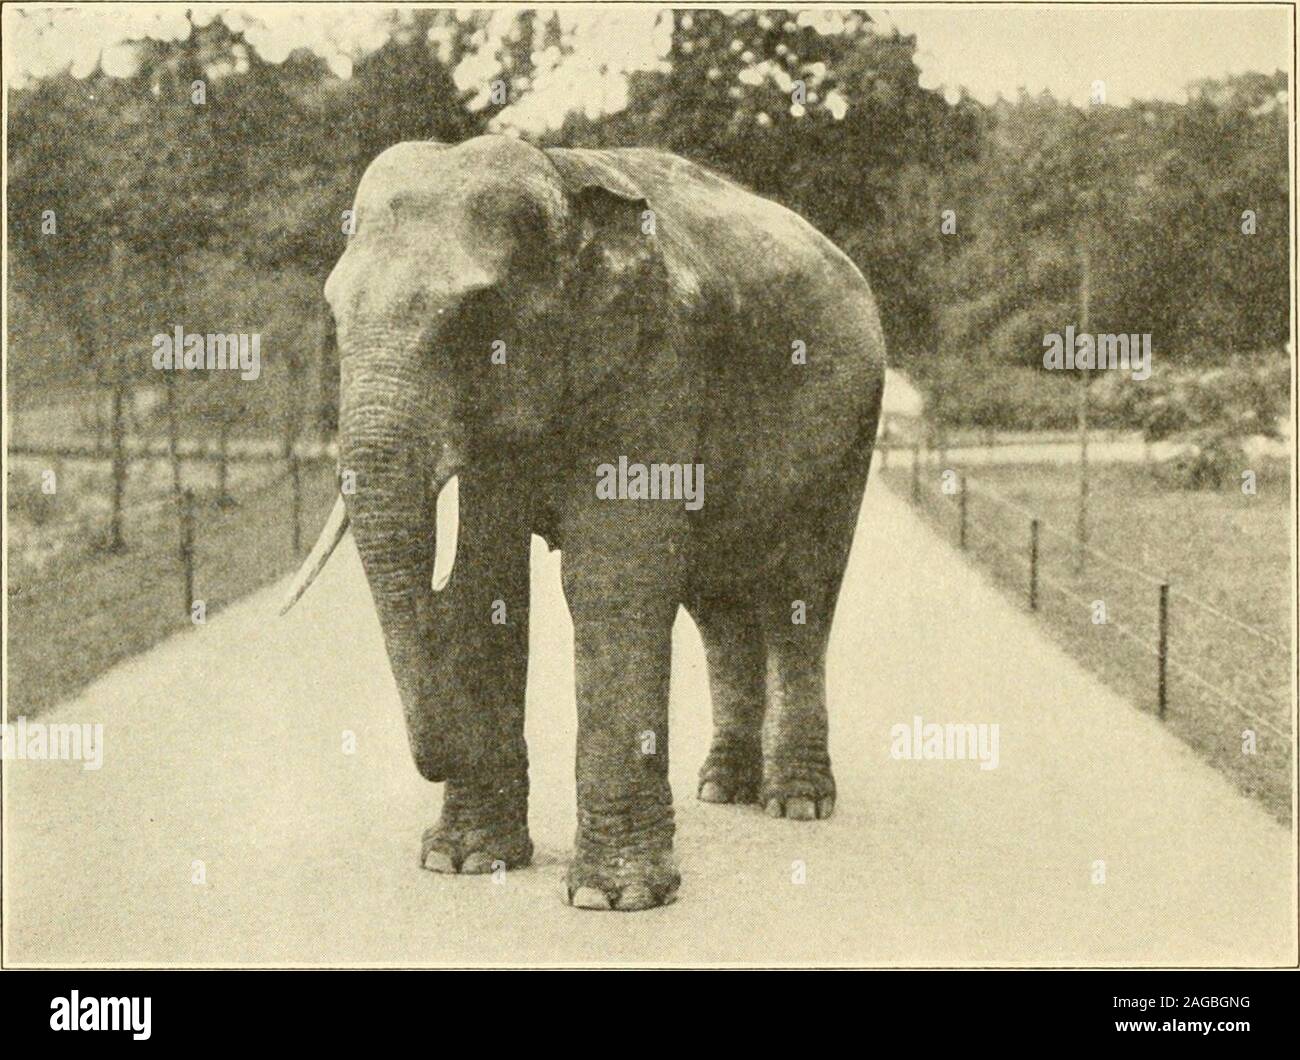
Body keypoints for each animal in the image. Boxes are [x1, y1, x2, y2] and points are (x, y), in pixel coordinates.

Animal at [282, 135, 886, 911]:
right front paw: (462, 860)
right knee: (718, 609)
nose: (438, 758)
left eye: (476, 315)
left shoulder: (657, 359)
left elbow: (612, 580)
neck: (562, 173)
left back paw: (798, 802)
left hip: (849, 430)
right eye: (334, 313)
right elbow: (488, 584)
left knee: (800, 595)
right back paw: (722, 789)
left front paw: (613, 898)